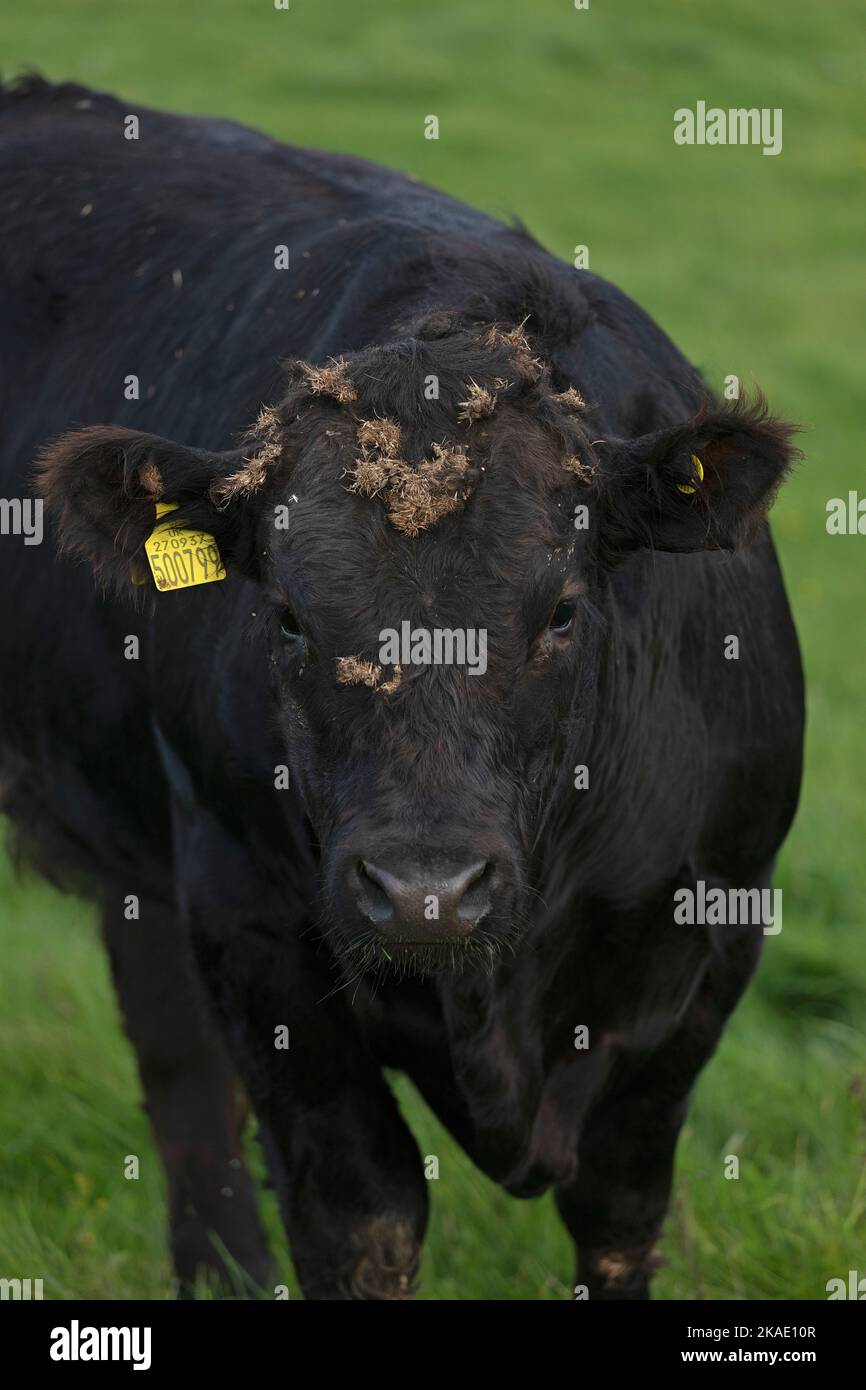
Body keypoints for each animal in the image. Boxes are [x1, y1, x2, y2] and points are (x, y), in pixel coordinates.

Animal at [0, 76, 804, 1300]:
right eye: (287, 615)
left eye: (561, 611)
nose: (427, 891)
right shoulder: (252, 918)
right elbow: (363, 1213)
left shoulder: (710, 943)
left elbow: (619, 1209)